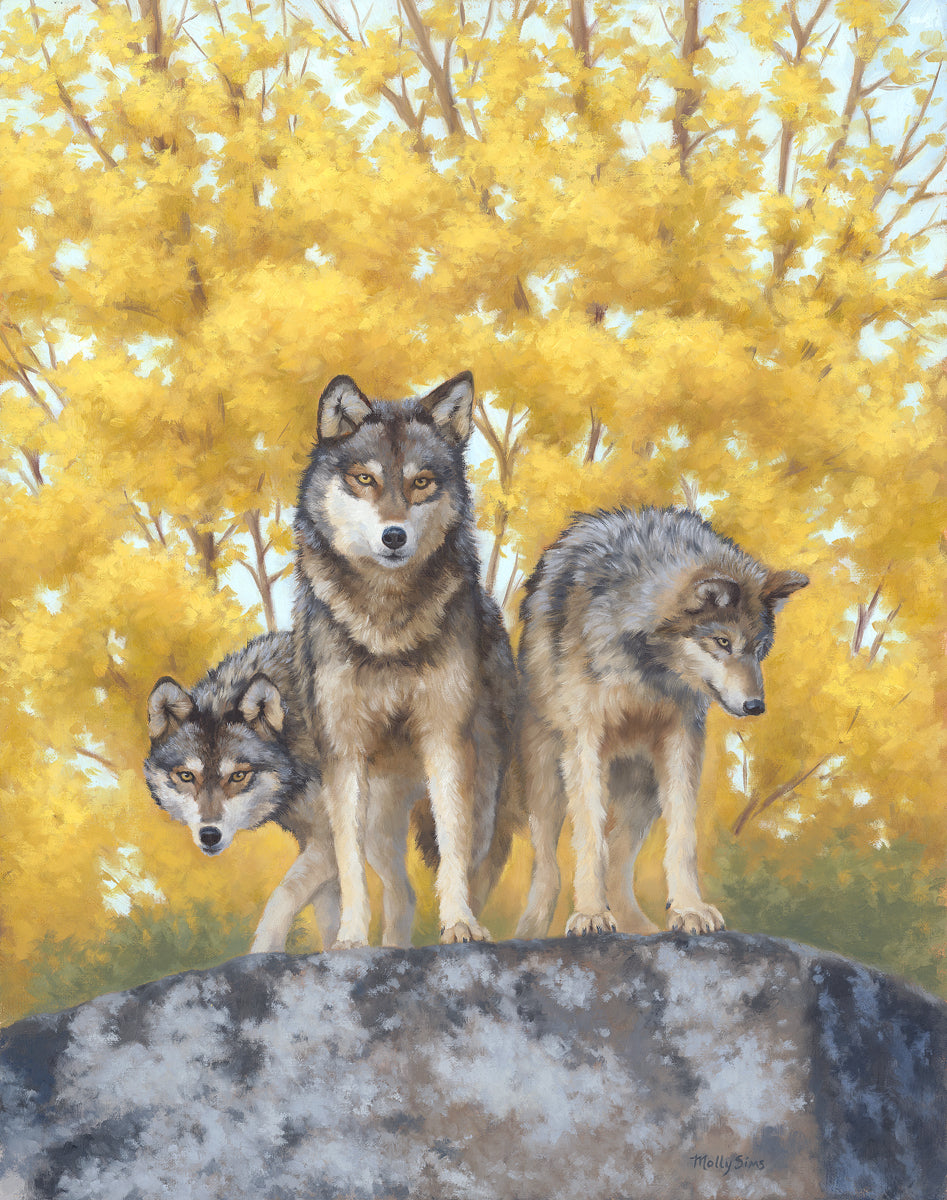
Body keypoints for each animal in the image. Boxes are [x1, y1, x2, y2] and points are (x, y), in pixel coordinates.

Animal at [144, 632, 426, 953]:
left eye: (238, 775)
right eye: (187, 776)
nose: (209, 835)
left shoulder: (328, 840)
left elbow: (283, 895)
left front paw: (264, 952)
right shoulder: (312, 839)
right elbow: (326, 915)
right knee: (405, 893)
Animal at [292, 370, 517, 948]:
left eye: (421, 483)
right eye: (365, 479)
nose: (394, 536)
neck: (386, 623)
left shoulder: (446, 739)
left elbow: (455, 851)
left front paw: (459, 925)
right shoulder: (343, 754)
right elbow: (348, 865)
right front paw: (349, 939)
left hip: (485, 793)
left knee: (472, 863)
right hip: (379, 819)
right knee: (400, 892)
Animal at [514, 505, 808, 939]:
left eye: (759, 648)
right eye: (722, 642)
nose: (756, 706)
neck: (649, 669)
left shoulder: (683, 740)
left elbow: (683, 837)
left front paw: (689, 909)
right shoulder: (585, 741)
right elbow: (588, 839)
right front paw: (589, 914)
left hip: (645, 789)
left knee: (619, 861)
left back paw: (639, 927)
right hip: (549, 779)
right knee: (549, 864)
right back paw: (530, 930)